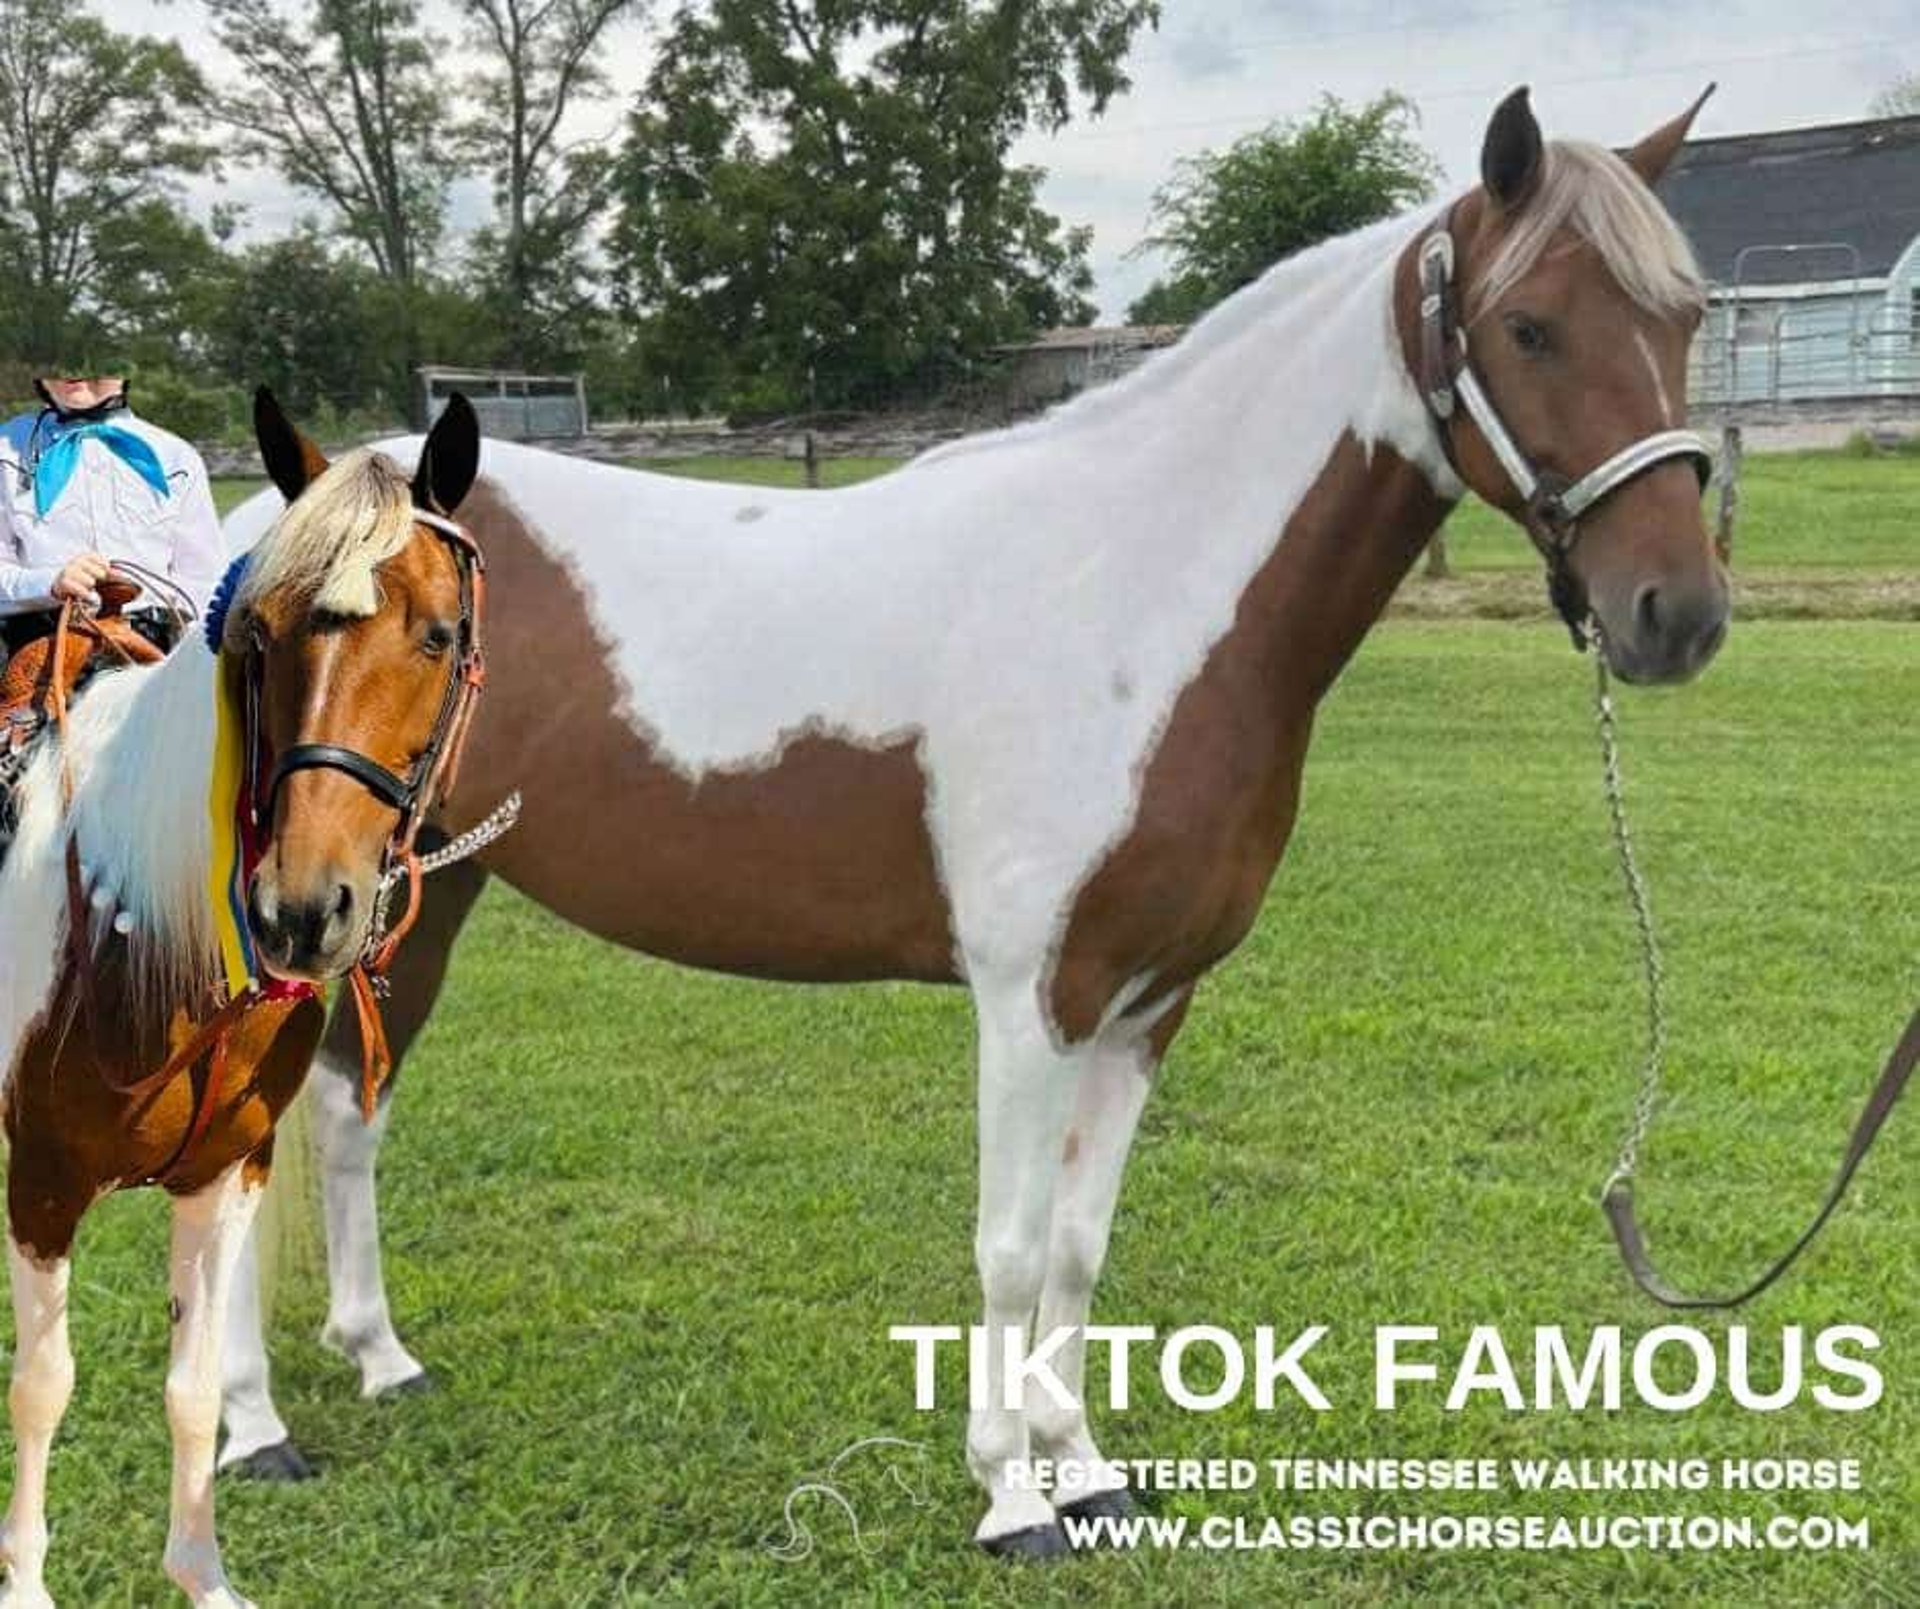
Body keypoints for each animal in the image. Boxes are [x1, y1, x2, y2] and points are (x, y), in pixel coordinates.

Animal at [0, 392, 488, 1605]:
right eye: (258, 637)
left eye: (439, 635)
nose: (304, 909)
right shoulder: (41, 1181)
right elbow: (43, 1386)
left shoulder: (226, 1170)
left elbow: (191, 1383)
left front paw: (203, 1569)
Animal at [220, 88, 1729, 1555]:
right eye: (1531, 326)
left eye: (1686, 317)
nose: (1679, 614)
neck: (1135, 597)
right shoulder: (1033, 997)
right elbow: (1006, 1246)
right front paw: (1011, 1501)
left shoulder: (1148, 1001)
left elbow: (1077, 1245)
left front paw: (1088, 1475)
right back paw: (252, 1429)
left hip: (414, 898)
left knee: (349, 1105)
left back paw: (381, 1361)